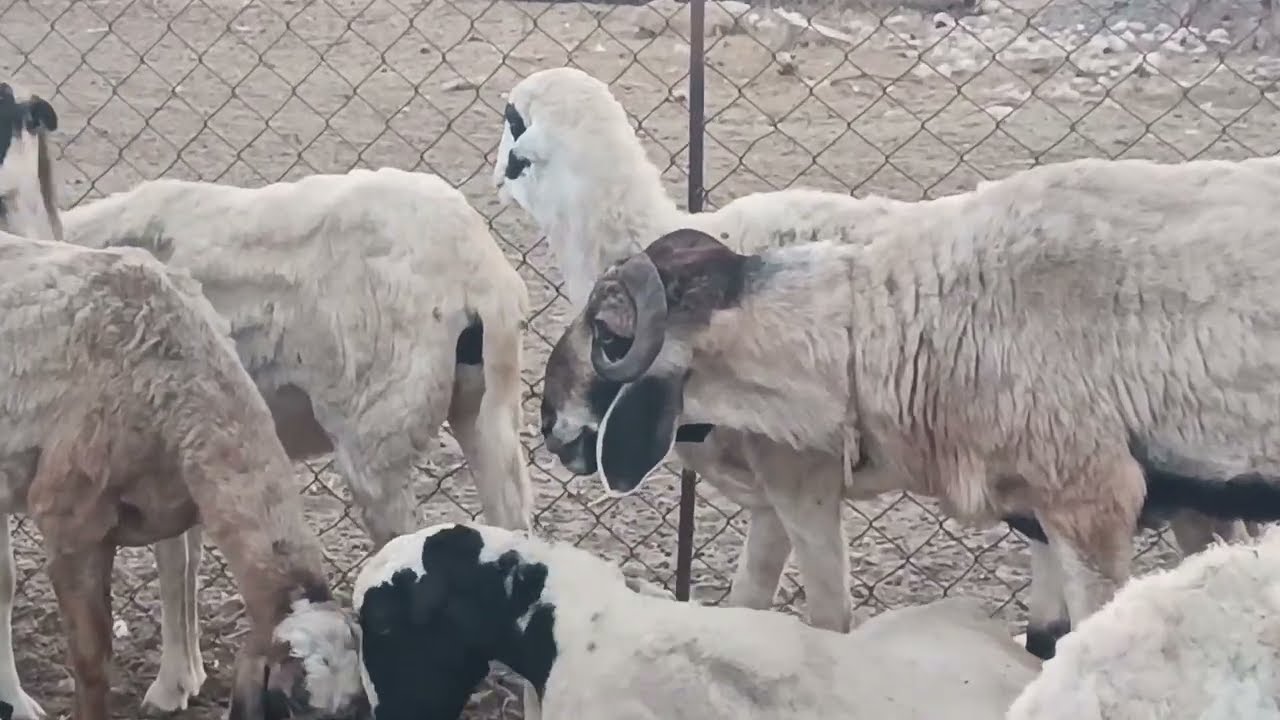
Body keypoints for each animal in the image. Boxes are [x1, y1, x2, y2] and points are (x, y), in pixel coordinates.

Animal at [52, 165, 534, 712]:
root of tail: (477, 275)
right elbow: (184, 557)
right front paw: (185, 676)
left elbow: (171, 560)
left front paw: (169, 687)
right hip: (487, 412)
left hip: (376, 437)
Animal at [495, 66, 1261, 658]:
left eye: (512, 125)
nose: (551, 427)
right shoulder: (769, 501)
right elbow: (747, 608)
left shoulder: (803, 482)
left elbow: (828, 620)